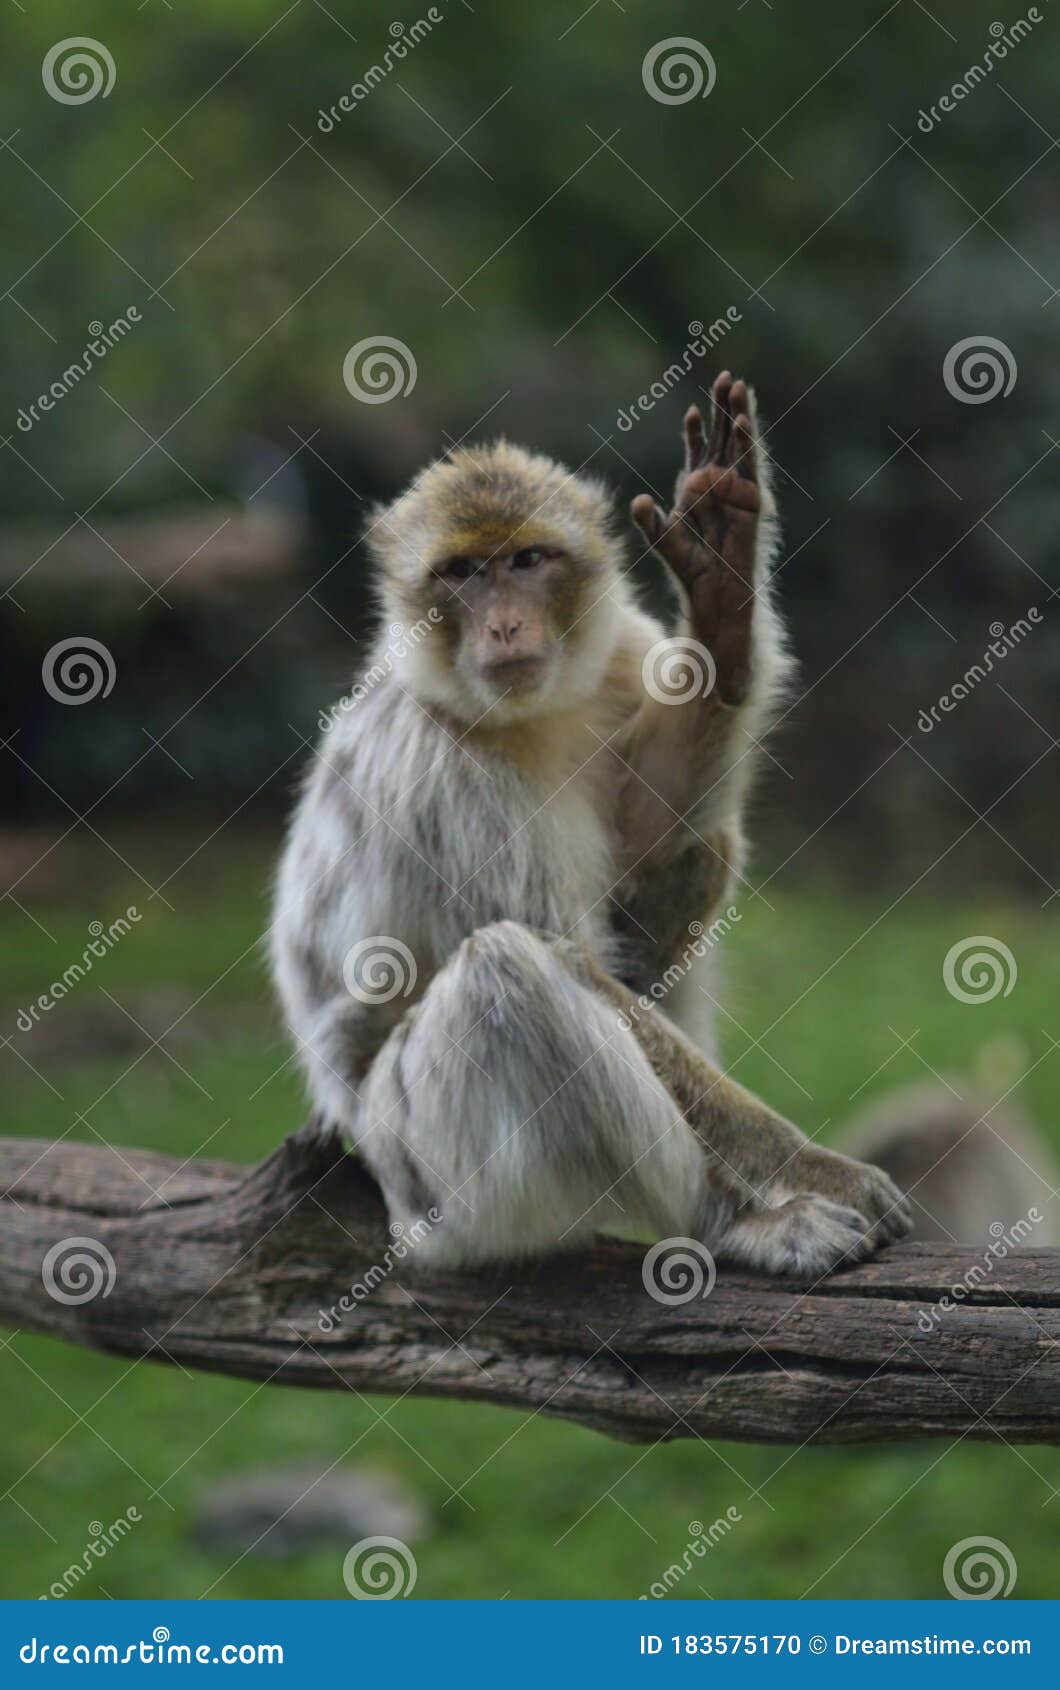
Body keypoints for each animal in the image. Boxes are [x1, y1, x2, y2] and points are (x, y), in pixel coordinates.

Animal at [270, 371, 913, 1278]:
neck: (518, 717)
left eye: (526, 560)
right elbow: (568, 957)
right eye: (461, 573)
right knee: (506, 973)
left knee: (703, 845)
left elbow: (650, 819)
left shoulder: (618, 657)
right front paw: (812, 1168)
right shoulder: (443, 773)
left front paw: (723, 594)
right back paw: (729, 1217)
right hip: (435, 1185)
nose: (505, 623)